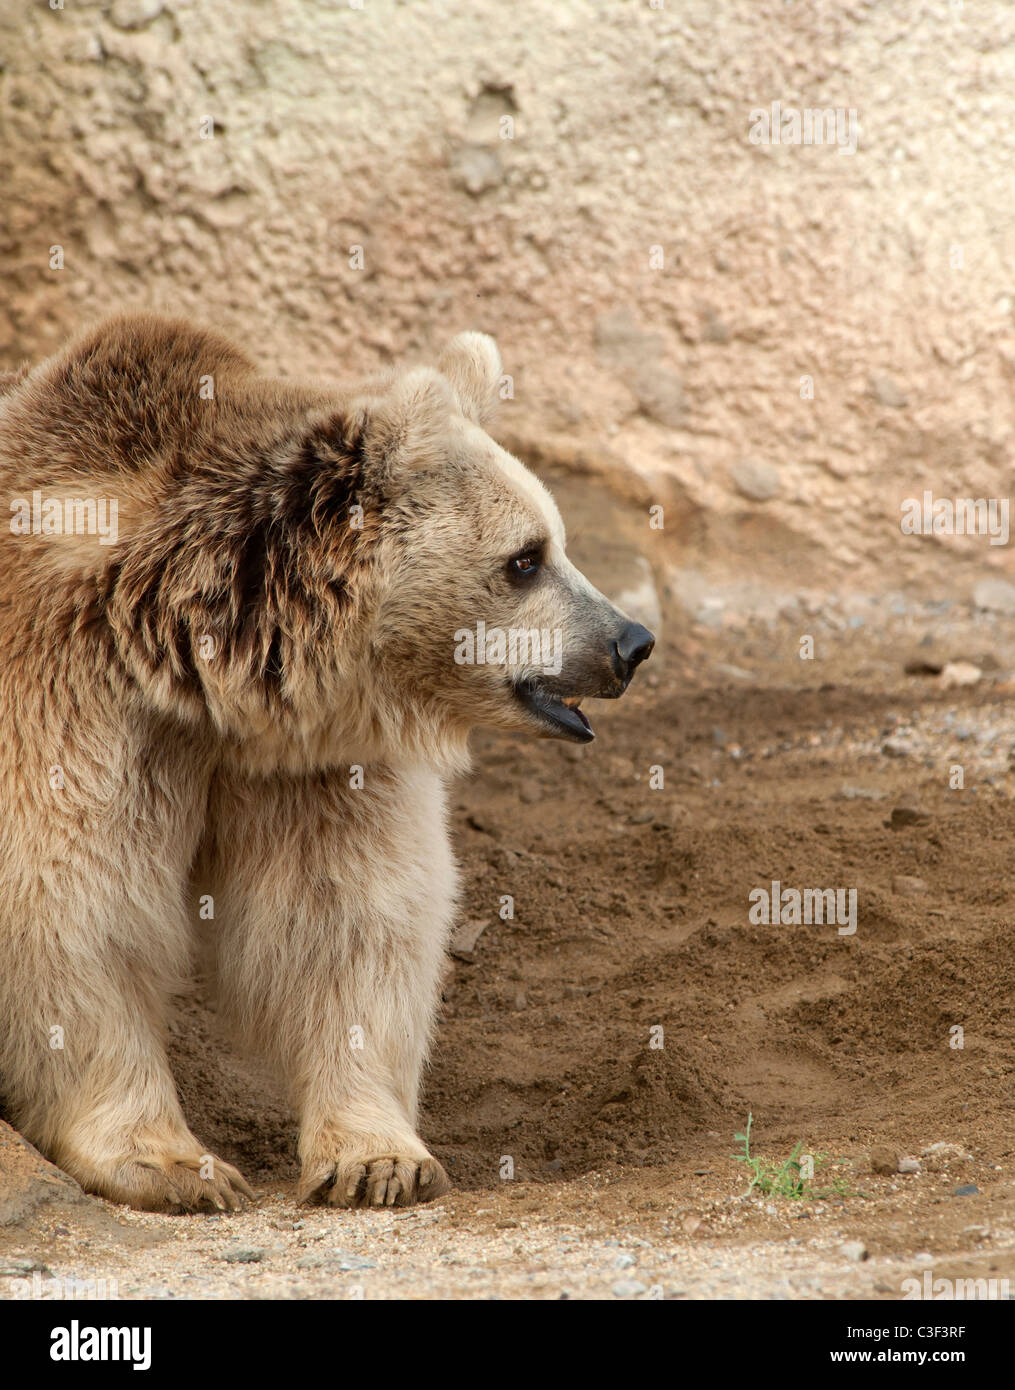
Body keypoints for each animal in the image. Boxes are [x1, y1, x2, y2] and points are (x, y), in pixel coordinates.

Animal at [0, 315, 654, 1211]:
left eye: (556, 541)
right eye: (526, 557)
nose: (629, 642)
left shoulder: (312, 763)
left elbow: (342, 915)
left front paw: (378, 1159)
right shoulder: (68, 699)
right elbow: (73, 906)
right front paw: (175, 1166)